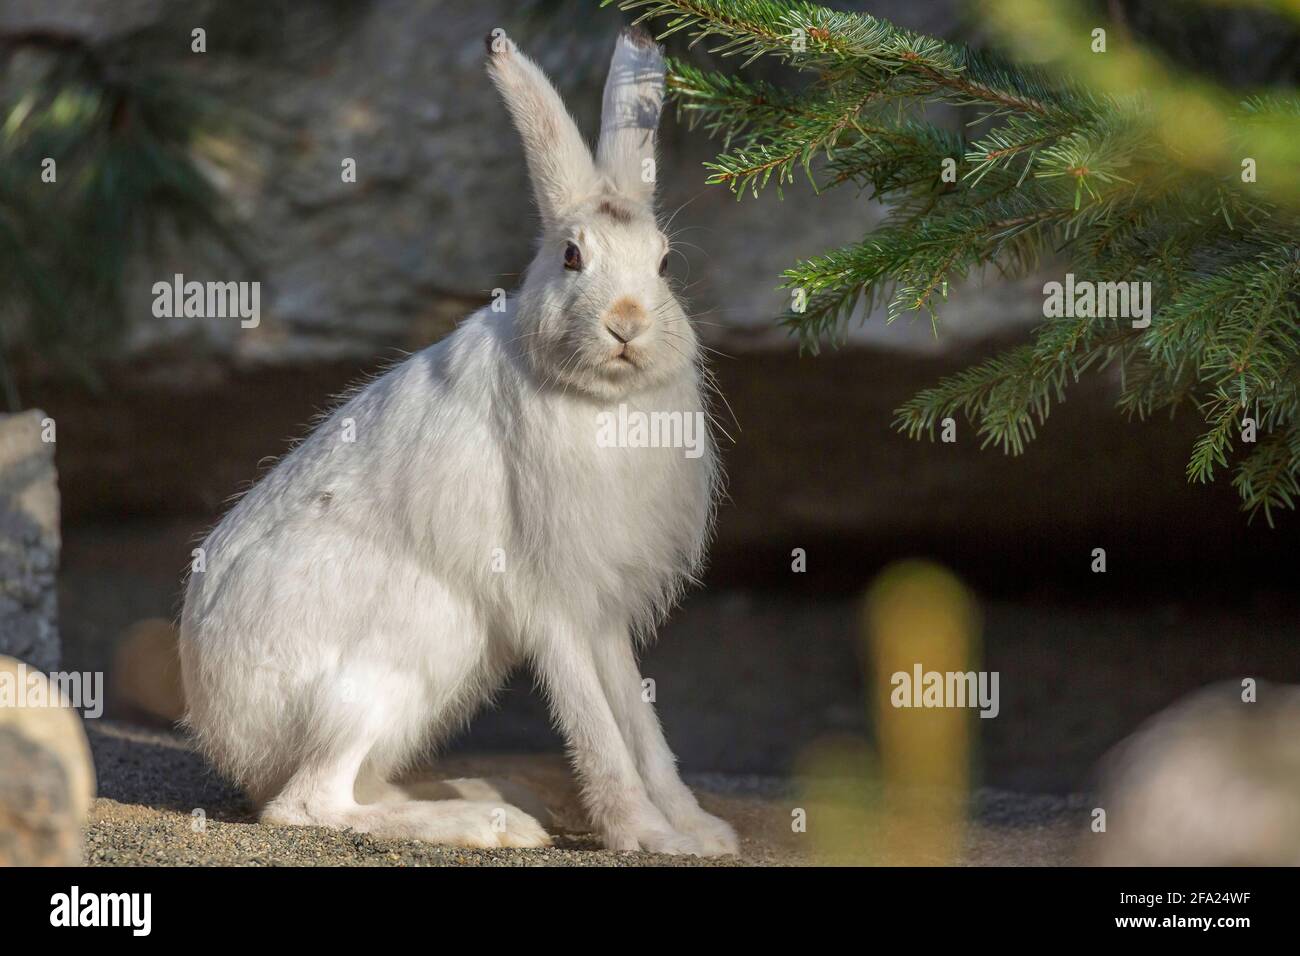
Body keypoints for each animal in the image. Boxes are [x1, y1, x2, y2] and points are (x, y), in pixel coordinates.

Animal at [177, 25, 738, 856]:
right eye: (572, 255)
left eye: (665, 261)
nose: (629, 323)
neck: (597, 397)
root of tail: (226, 738)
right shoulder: (553, 601)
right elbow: (599, 729)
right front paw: (647, 834)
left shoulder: (603, 612)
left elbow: (640, 723)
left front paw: (698, 829)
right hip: (402, 653)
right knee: (307, 803)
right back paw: (489, 822)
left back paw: (482, 792)